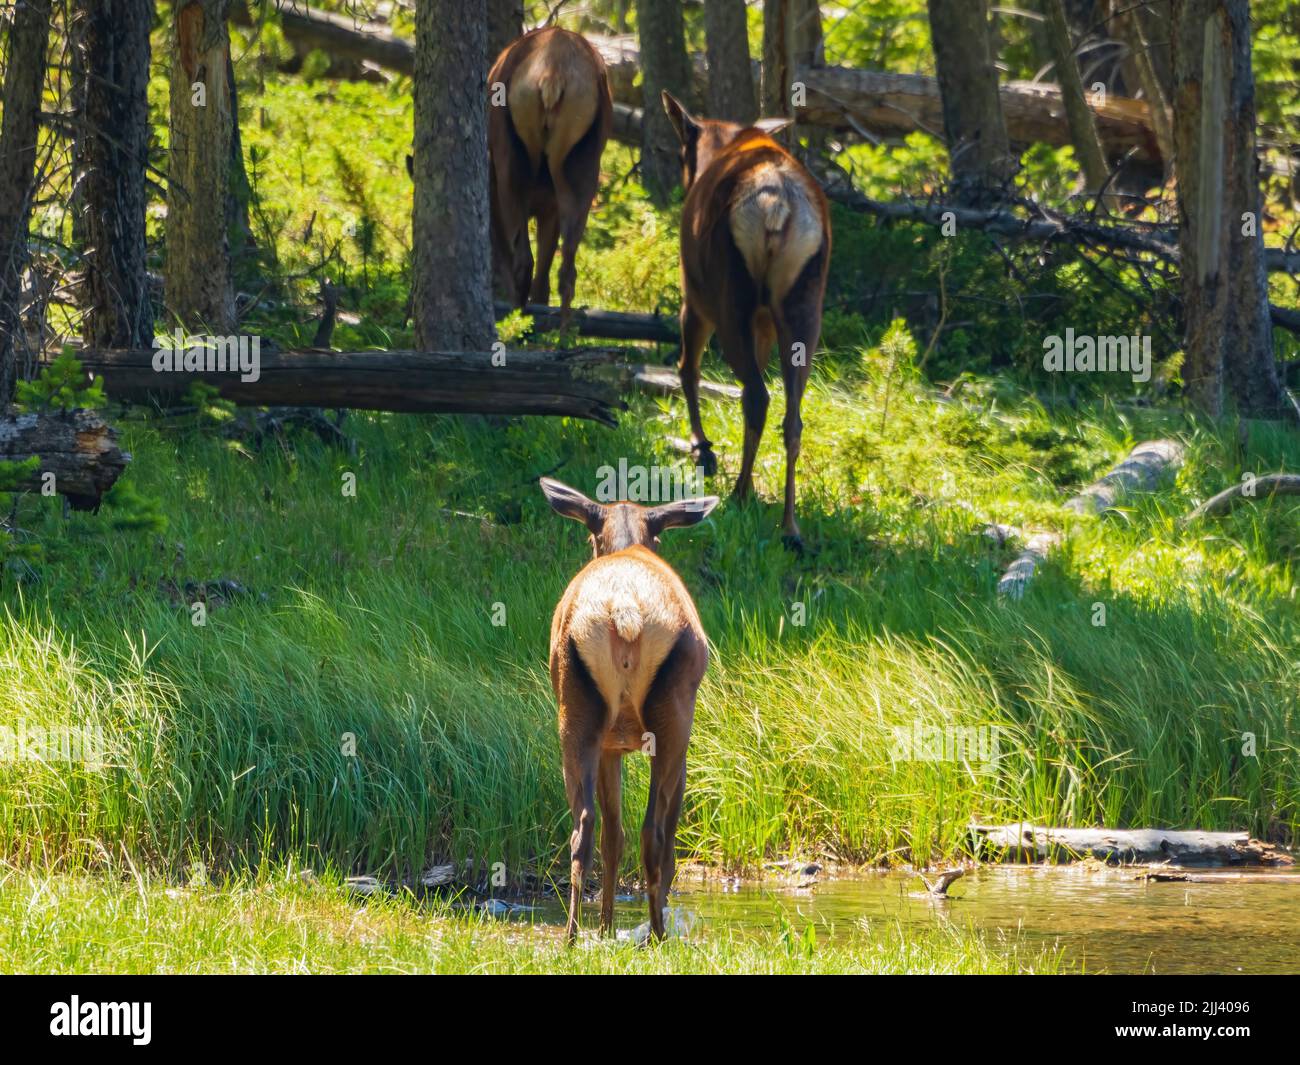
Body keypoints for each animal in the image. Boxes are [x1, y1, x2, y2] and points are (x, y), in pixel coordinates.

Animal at [487, 27, 612, 329]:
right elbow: (543, 283)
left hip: (511, 160)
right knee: (567, 269)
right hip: (582, 163)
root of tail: (552, 74)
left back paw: (519, 328)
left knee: (523, 262)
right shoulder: (550, 207)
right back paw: (564, 333)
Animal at [539, 476, 718, 943]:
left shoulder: (610, 745)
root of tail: (626, 612)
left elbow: (612, 834)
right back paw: (657, 934)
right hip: (673, 711)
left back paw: (572, 936)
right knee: (652, 832)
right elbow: (661, 835)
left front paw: (604, 928)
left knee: (584, 827)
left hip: (576, 708)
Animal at [661, 92, 831, 551]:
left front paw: (702, 447)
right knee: (792, 415)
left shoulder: (693, 295)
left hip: (727, 298)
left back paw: (741, 492)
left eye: (681, 152)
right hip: (803, 305)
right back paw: (790, 526)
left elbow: (687, 368)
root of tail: (779, 207)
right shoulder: (765, 323)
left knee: (755, 395)